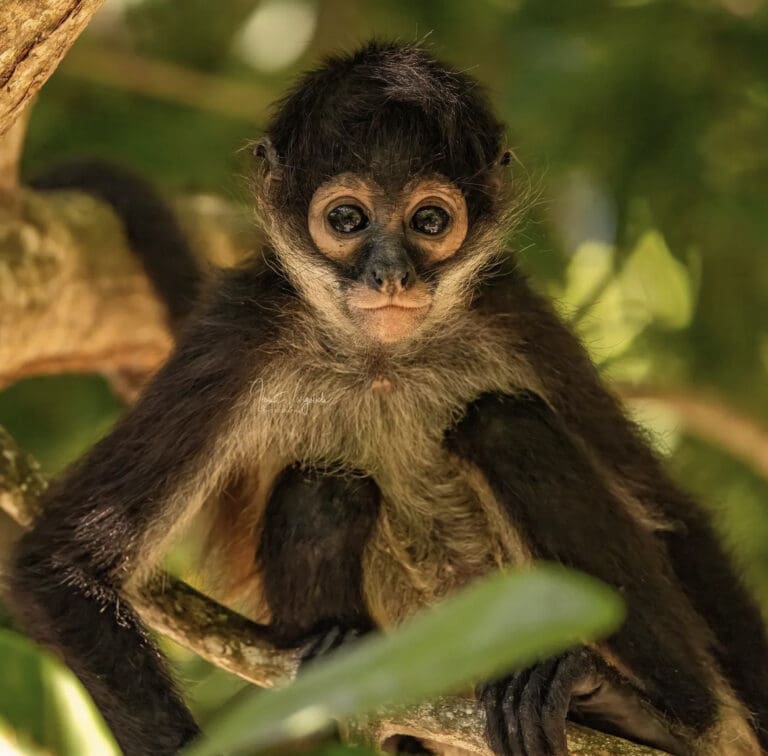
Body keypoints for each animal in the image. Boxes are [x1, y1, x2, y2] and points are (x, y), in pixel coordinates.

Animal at [8, 40, 768, 756]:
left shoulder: (509, 309)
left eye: (429, 222)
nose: (391, 274)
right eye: (347, 218)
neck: (381, 360)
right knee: (325, 484)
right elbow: (60, 567)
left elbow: (667, 511)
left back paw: (660, 717)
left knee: (505, 425)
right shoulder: (239, 334)